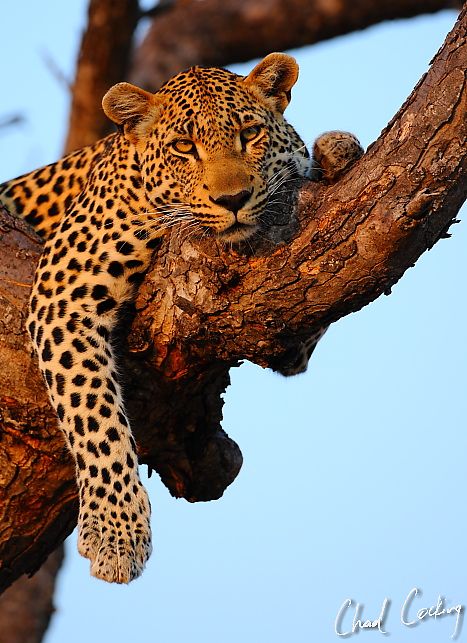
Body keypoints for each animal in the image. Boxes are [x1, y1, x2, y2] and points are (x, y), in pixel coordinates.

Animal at [0, 53, 363, 583]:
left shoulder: (289, 332)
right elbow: (94, 413)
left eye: (249, 134)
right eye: (184, 147)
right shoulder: (62, 291)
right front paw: (116, 531)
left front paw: (337, 150)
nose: (232, 200)